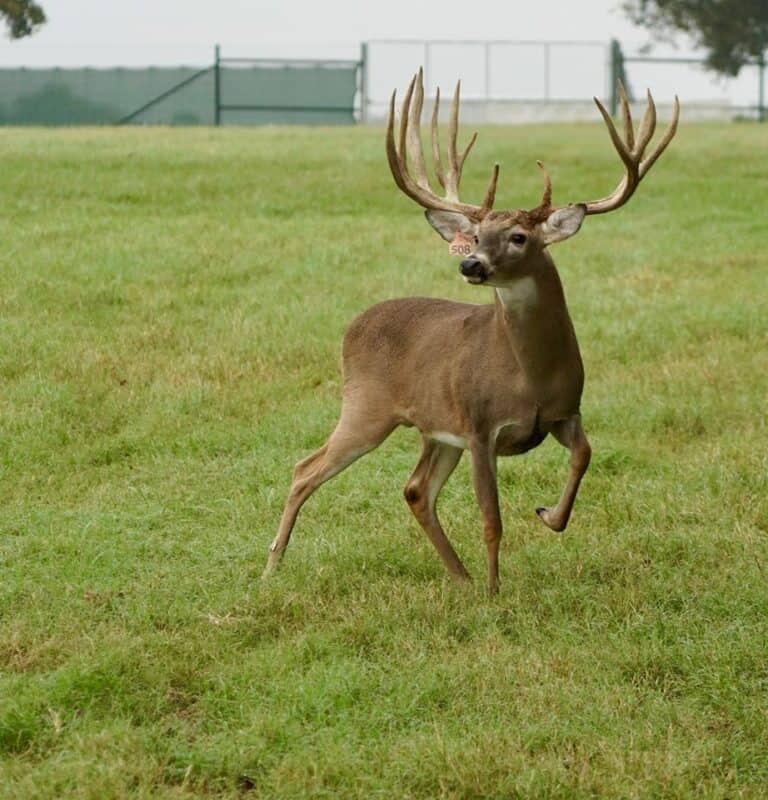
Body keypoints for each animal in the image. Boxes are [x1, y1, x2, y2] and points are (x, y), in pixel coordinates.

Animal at [263, 70, 679, 593]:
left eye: (518, 237)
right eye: (477, 236)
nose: (470, 263)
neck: (530, 377)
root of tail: (354, 324)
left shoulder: (565, 411)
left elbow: (584, 455)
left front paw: (549, 516)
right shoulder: (480, 426)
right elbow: (491, 518)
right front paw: (496, 591)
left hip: (435, 430)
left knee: (415, 490)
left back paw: (459, 577)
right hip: (367, 407)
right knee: (305, 469)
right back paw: (272, 564)